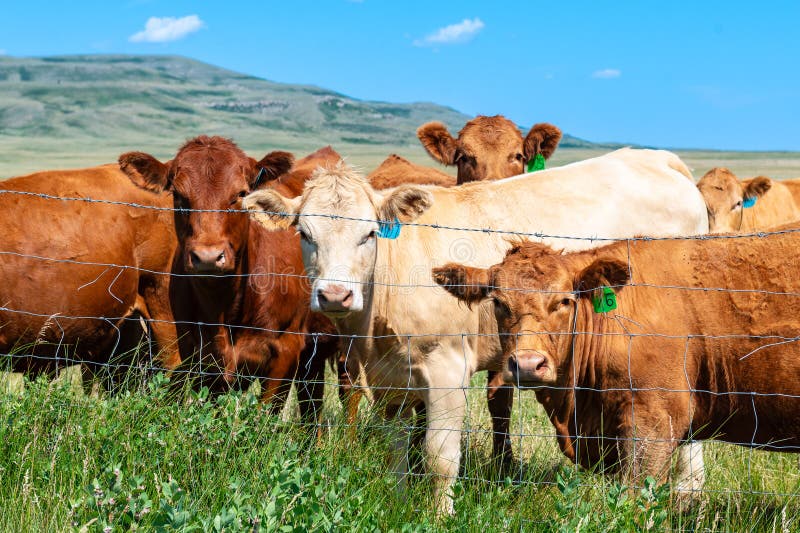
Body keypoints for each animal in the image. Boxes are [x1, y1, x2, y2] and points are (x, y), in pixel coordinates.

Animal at [119, 137, 341, 426]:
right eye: (179, 196)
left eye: (240, 194)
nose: (208, 257)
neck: (226, 307)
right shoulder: (198, 353)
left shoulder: (285, 352)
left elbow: (265, 416)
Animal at [243, 147, 709, 514]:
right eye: (305, 233)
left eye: (369, 233)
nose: (335, 295)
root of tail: (656, 159)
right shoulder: (388, 377)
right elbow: (395, 449)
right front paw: (397, 502)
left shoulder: (447, 368)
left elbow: (439, 456)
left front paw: (440, 515)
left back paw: (688, 498)